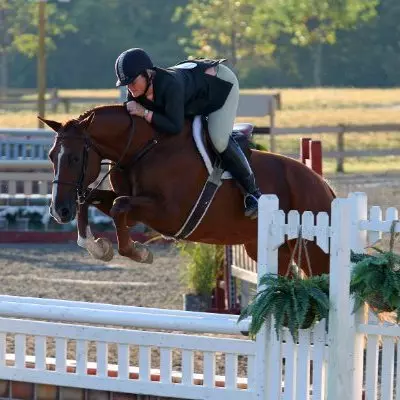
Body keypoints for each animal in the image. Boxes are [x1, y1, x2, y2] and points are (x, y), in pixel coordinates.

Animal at [40, 104, 336, 276]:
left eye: (74, 158)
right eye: (52, 155)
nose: (58, 211)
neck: (144, 148)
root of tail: (324, 186)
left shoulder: (170, 213)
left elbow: (118, 206)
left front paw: (139, 252)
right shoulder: (137, 208)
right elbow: (93, 202)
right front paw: (98, 247)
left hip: (316, 250)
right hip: (272, 248)